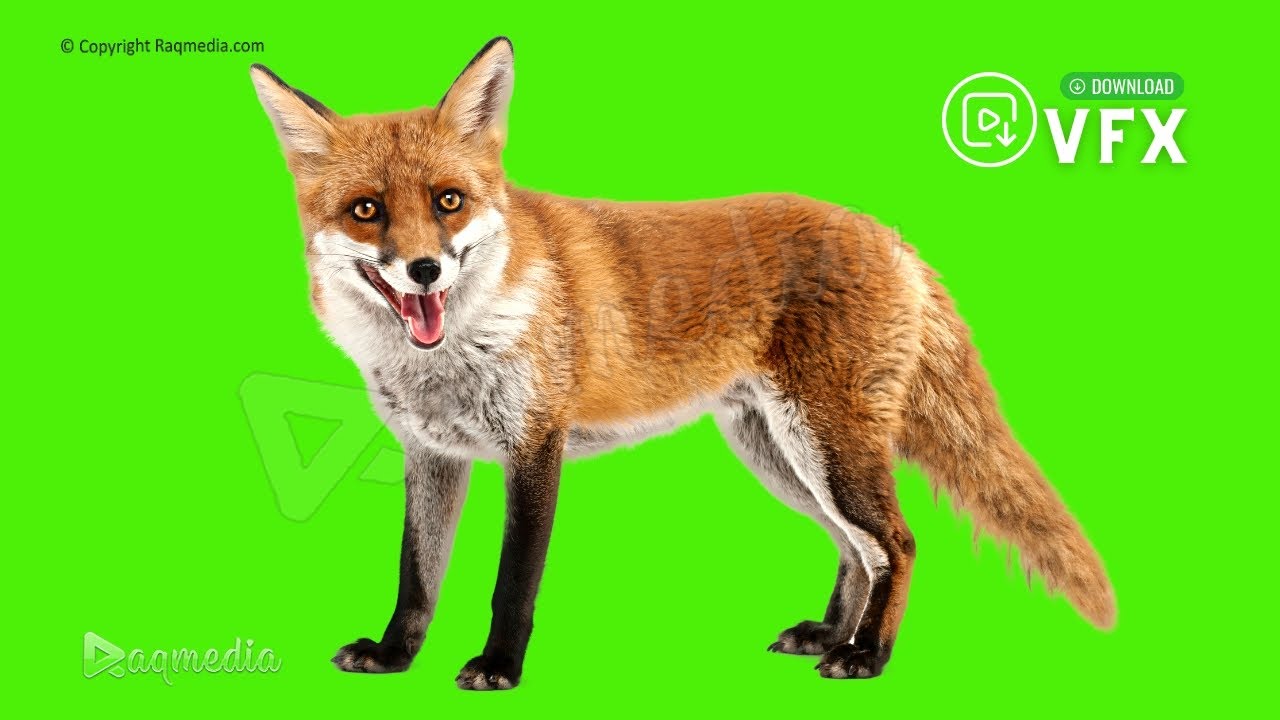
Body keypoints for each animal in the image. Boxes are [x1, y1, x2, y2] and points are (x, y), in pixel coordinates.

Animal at [250, 37, 1115, 689]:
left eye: (448, 201)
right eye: (367, 211)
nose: (425, 270)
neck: (455, 350)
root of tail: (892, 236)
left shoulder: (535, 445)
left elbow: (511, 584)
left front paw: (498, 669)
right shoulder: (431, 452)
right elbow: (416, 576)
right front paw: (395, 655)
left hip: (827, 448)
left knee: (896, 544)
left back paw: (867, 654)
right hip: (780, 454)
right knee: (855, 549)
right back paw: (830, 634)